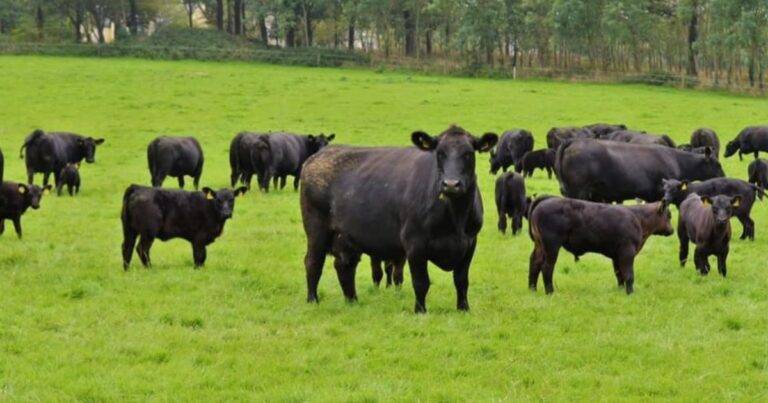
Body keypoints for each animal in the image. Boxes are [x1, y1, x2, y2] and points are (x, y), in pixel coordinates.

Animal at [300, 125, 497, 313]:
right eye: (440, 153)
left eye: (468, 153)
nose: (451, 184)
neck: (455, 218)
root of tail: (318, 156)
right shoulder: (414, 243)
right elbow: (421, 282)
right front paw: (420, 310)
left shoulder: (469, 242)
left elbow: (461, 280)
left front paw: (463, 308)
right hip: (316, 230)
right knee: (313, 262)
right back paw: (312, 300)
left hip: (346, 237)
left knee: (345, 266)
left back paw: (352, 301)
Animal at [528, 196, 673, 295]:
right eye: (669, 215)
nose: (672, 230)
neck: (638, 218)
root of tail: (548, 199)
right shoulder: (627, 252)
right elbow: (628, 274)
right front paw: (630, 293)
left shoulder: (617, 256)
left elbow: (619, 274)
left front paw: (621, 290)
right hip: (551, 247)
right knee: (546, 267)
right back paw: (550, 292)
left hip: (539, 246)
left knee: (535, 263)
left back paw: (532, 289)